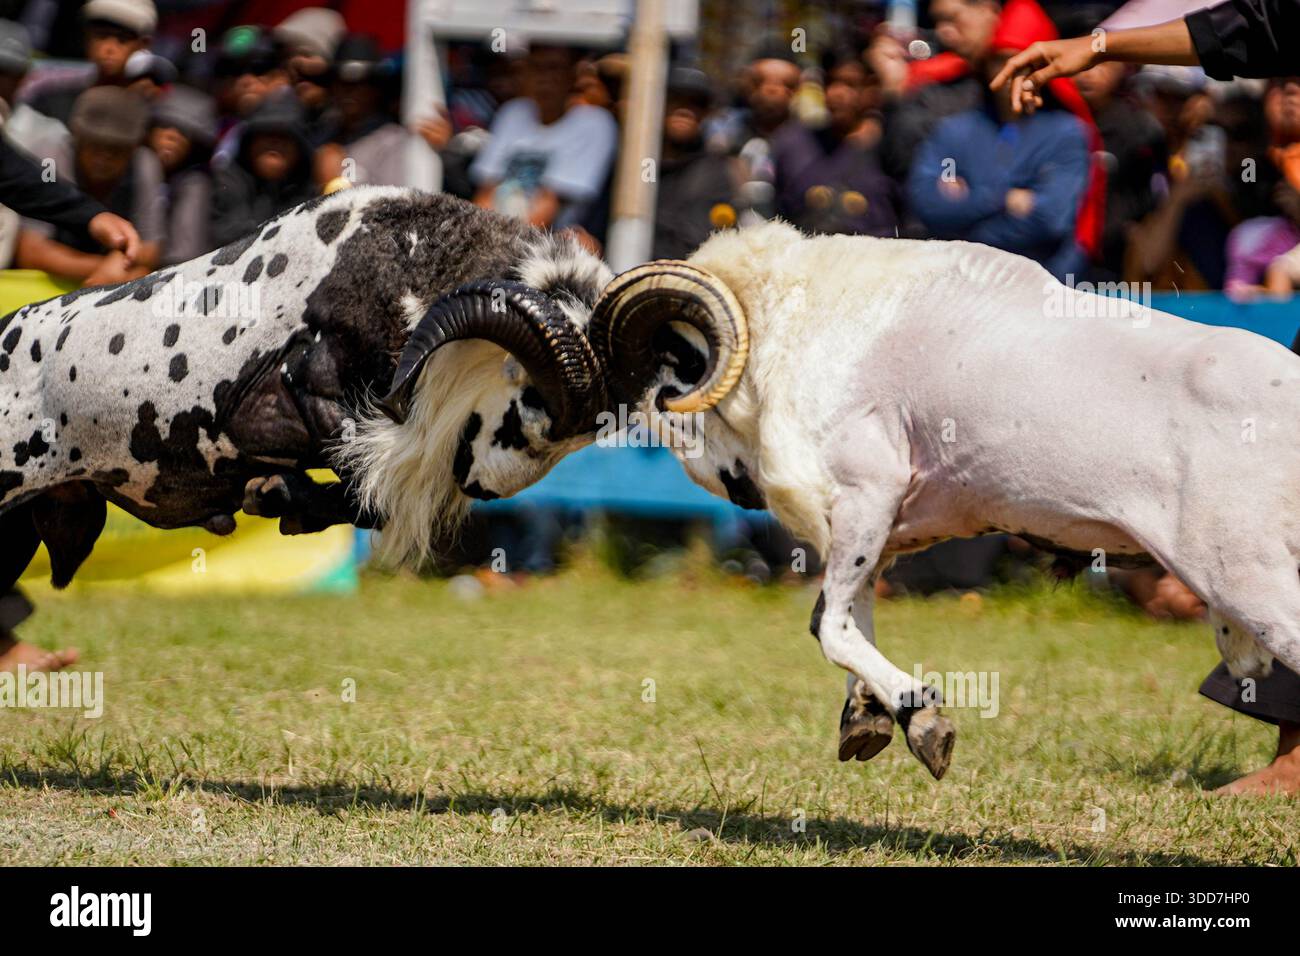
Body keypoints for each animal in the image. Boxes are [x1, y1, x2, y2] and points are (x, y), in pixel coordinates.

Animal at [0, 185, 611, 594]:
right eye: (529, 400)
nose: (485, 487)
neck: (406, 270)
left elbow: (366, 504)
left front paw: (279, 497)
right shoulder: (292, 396)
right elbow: (367, 492)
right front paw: (279, 494)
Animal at [585, 219, 1300, 780]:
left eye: (665, 373)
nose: (737, 489)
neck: (791, 320)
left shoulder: (867, 488)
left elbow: (830, 625)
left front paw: (918, 716)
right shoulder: (886, 523)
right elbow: (856, 614)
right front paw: (870, 716)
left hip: (1247, 576)